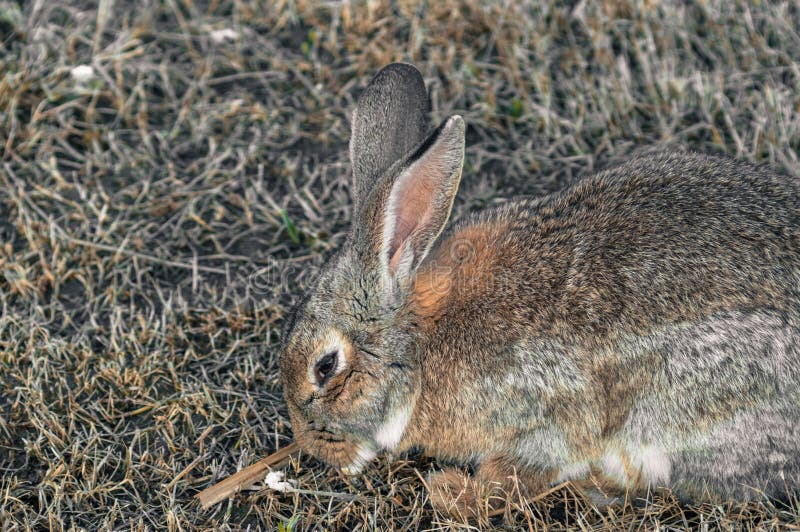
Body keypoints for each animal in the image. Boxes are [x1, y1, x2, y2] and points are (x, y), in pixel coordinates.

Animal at [278, 62, 800, 517]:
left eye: (326, 367)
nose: (314, 447)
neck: (421, 343)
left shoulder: (543, 418)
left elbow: (513, 478)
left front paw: (451, 491)